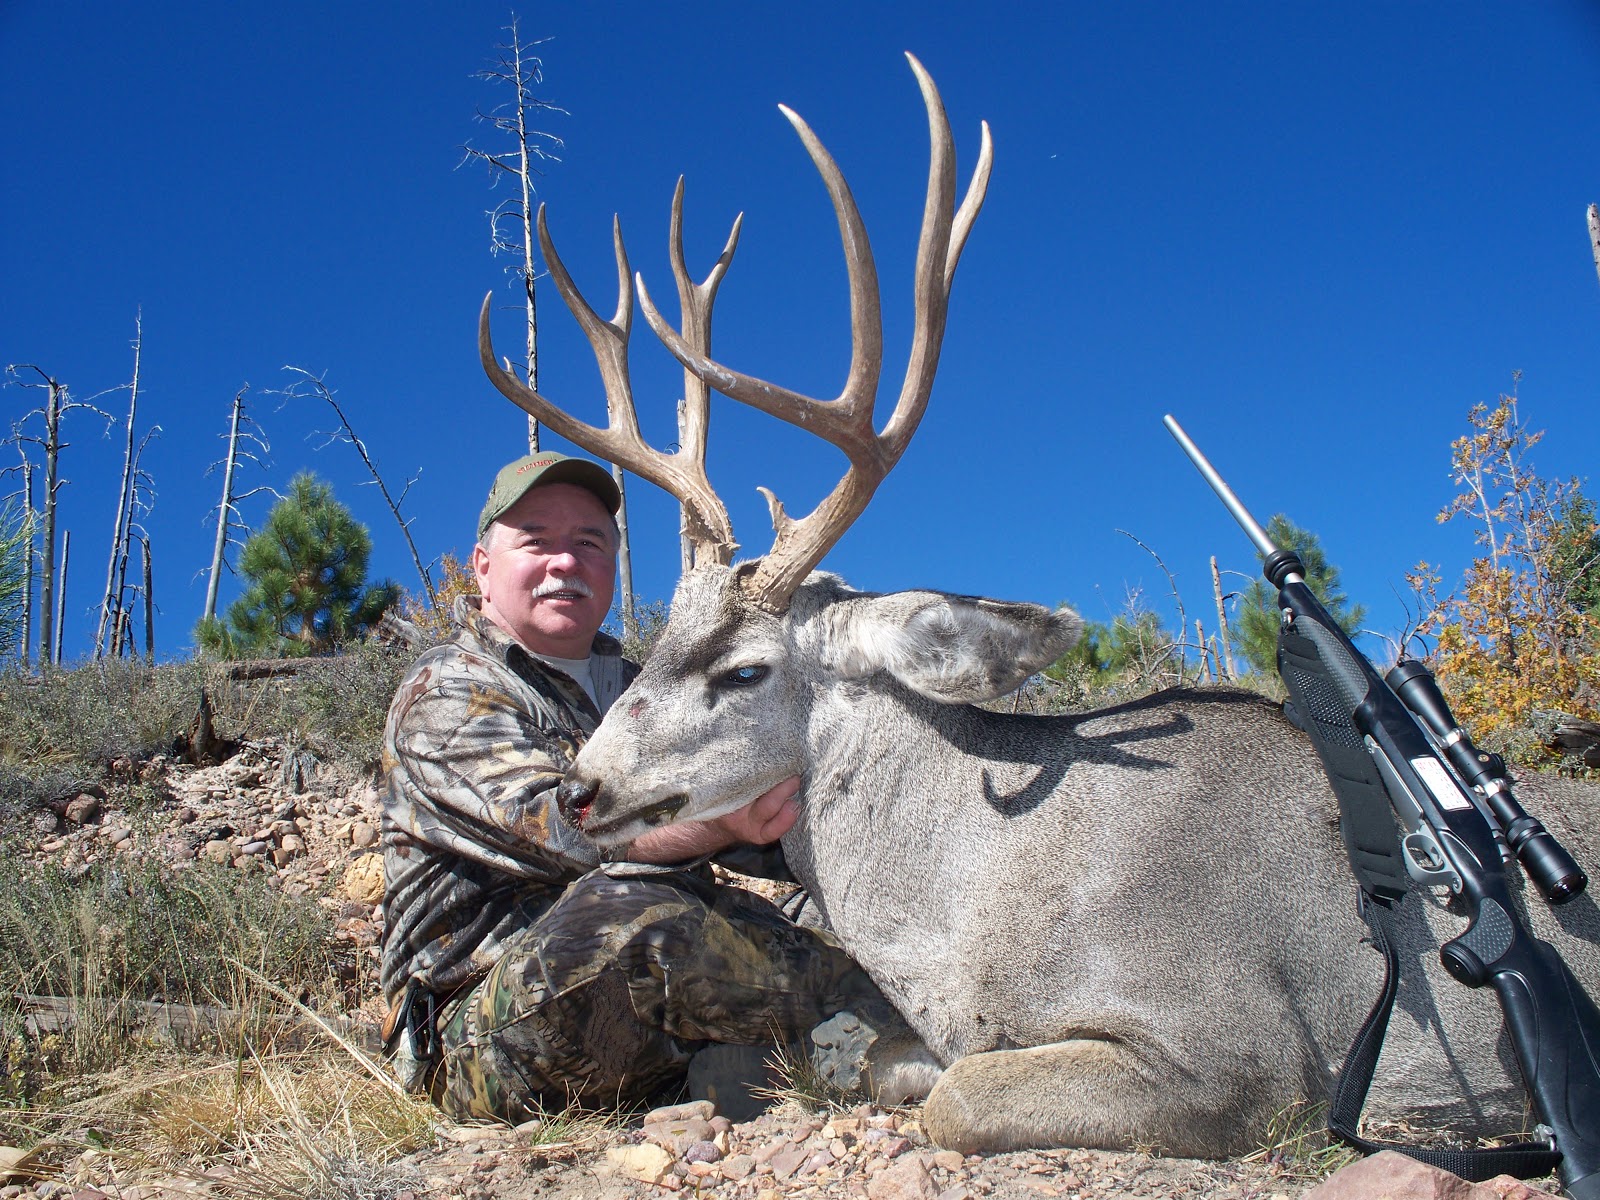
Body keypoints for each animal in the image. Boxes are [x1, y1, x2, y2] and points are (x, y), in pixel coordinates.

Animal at [477, 54, 1600, 1158]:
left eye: (742, 668)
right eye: (658, 643)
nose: (577, 790)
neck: (976, 901)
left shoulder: (1236, 1047)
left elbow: (956, 1100)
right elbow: (874, 1059)